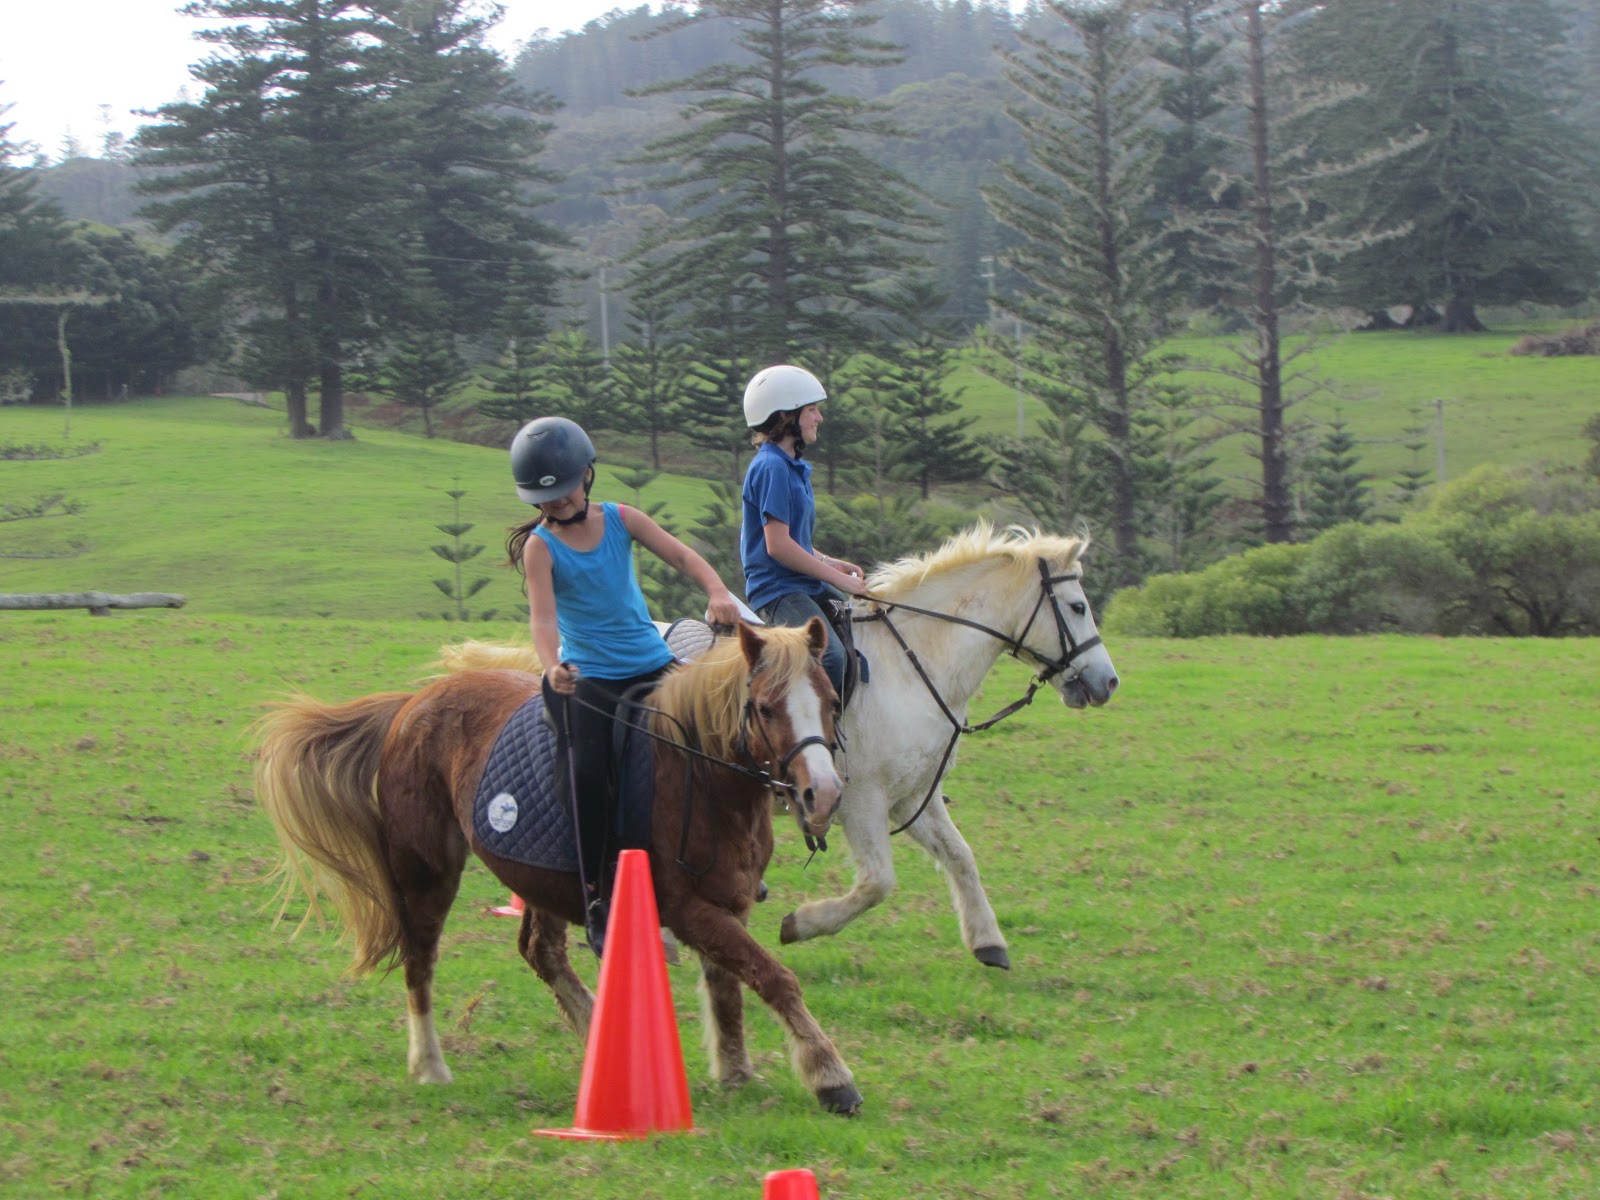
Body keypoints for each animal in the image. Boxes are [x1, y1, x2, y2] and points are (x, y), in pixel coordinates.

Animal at [253, 618, 865, 1115]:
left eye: (832, 700)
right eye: (765, 707)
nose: (823, 795)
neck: (700, 774)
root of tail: (412, 705)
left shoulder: (728, 902)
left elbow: (730, 986)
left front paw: (736, 1072)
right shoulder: (687, 908)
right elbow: (774, 977)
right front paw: (829, 1076)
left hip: (539, 874)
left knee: (539, 952)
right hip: (427, 872)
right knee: (420, 960)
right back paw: (429, 1065)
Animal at [440, 522, 1118, 972]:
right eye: (1078, 605)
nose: (1107, 682)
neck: (911, 664)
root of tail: (565, 662)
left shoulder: (912, 799)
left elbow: (962, 858)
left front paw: (988, 942)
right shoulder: (861, 802)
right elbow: (877, 884)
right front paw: (801, 925)